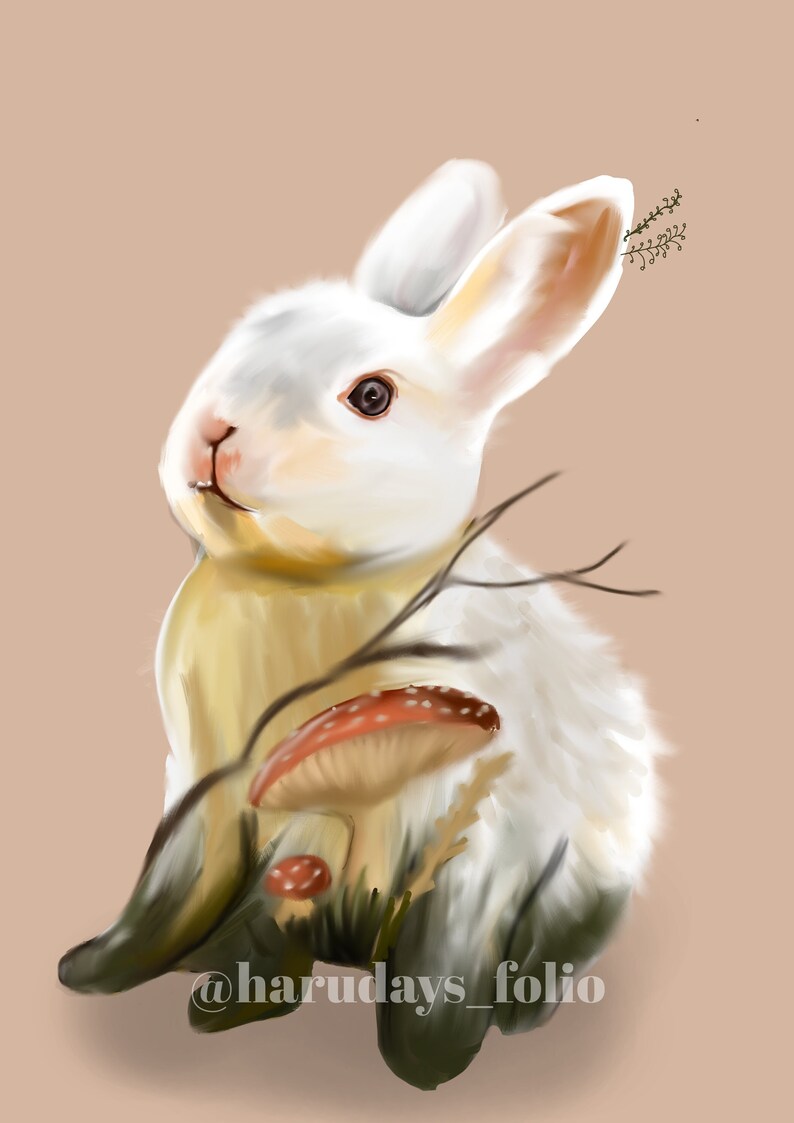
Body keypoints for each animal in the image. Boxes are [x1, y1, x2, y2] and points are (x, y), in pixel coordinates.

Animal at [59, 160, 662, 1091]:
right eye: (246, 336)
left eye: (371, 396)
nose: (212, 434)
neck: (303, 583)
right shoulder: (209, 786)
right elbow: (169, 894)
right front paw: (100, 969)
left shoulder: (481, 832)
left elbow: (443, 955)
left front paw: (426, 1062)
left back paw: (524, 1009)